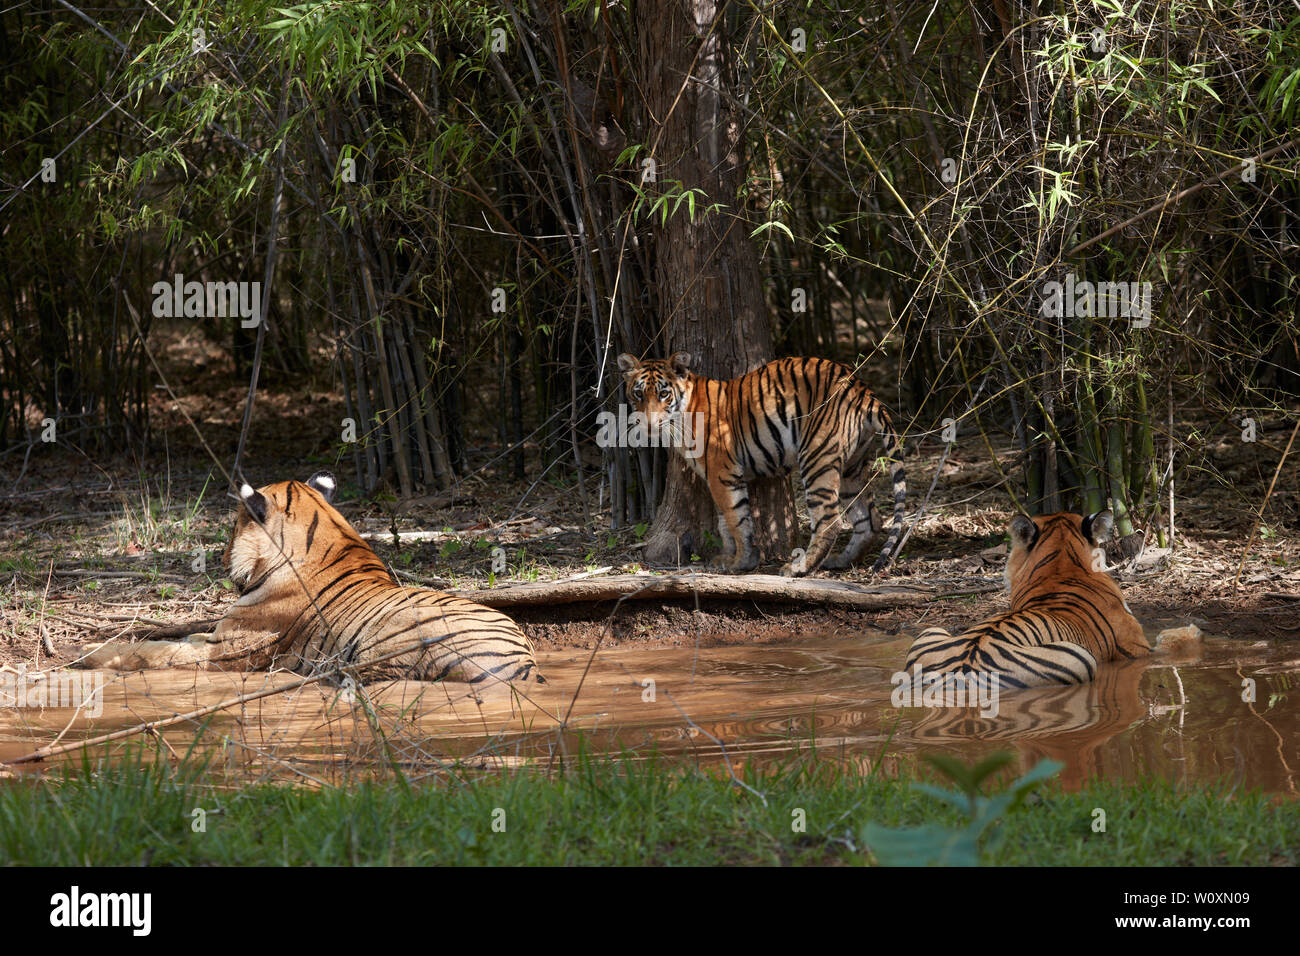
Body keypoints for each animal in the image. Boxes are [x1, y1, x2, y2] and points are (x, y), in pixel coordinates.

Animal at [80, 472, 543, 686]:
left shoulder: (222, 651)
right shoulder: (213, 638)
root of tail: (524, 663)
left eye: (232, 528)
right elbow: (164, 641)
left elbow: (151, 653)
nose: (221, 557)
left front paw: (87, 655)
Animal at [616, 352, 906, 575]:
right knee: (870, 519)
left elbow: (735, 519)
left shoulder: (722, 472)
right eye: (639, 394)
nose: (649, 424)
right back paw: (840, 561)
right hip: (851, 468)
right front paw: (730, 558)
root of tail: (862, 390)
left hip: (818, 457)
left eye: (664, 394)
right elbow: (725, 521)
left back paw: (799, 568)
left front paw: (741, 563)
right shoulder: (719, 477)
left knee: (830, 520)